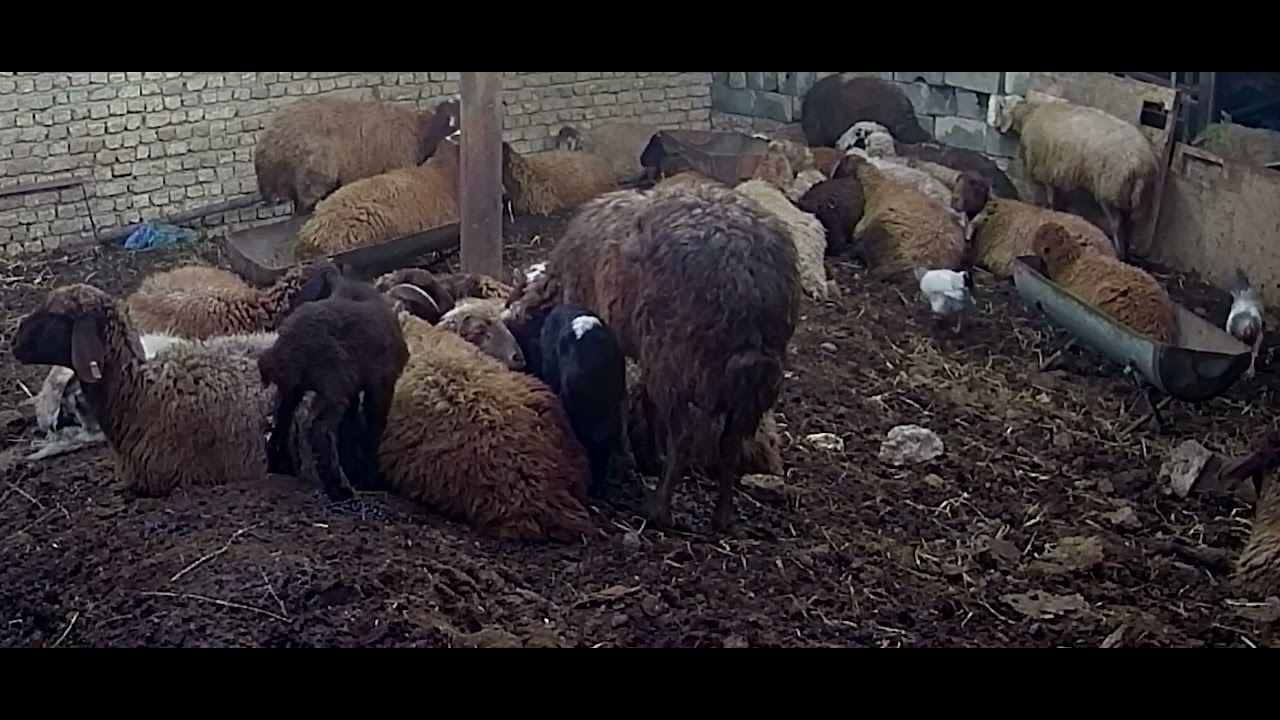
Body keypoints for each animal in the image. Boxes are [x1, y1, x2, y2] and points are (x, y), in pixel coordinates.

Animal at [258, 277, 408, 502]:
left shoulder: (356, 388)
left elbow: (350, 426)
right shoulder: (381, 384)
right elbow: (374, 428)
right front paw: (371, 479)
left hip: (292, 389)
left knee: (278, 421)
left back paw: (280, 467)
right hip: (334, 383)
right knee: (318, 428)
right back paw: (339, 488)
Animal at [503, 182, 802, 532]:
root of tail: (752, 282)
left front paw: (634, 458)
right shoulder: (645, 350)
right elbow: (646, 400)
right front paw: (651, 456)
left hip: (677, 354)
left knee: (683, 436)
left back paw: (659, 509)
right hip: (746, 376)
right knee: (730, 442)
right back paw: (723, 516)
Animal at [988, 94, 1159, 257]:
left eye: (1001, 107)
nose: (996, 127)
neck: (1028, 115)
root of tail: (1144, 161)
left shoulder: (1042, 168)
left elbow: (1047, 197)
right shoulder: (1051, 170)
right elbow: (1053, 197)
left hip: (1110, 189)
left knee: (1116, 224)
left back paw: (1119, 252)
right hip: (1127, 194)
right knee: (1128, 224)